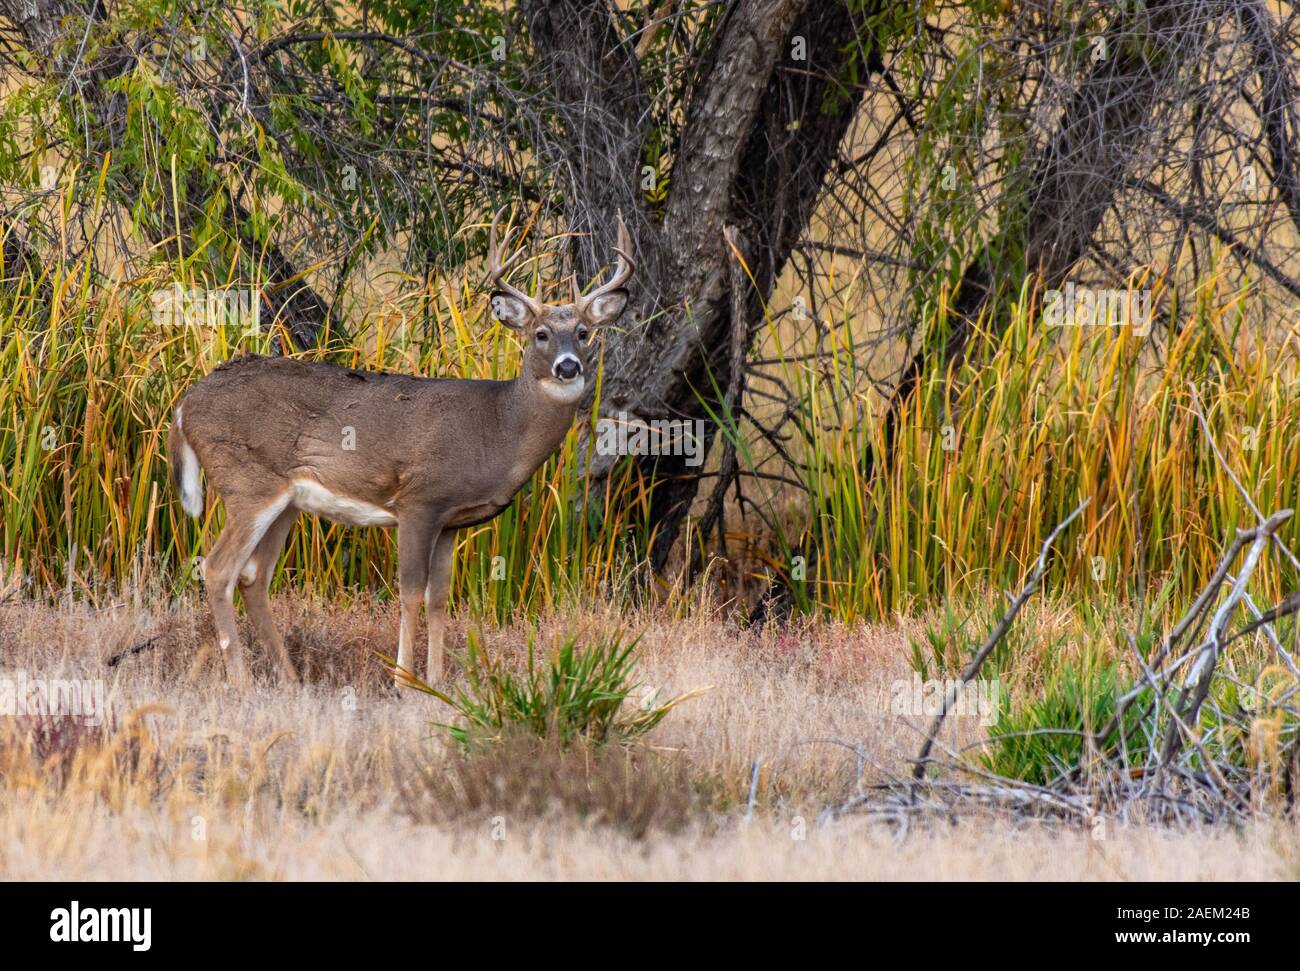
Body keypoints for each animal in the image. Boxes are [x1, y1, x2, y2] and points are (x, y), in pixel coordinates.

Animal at [167, 209, 634, 688]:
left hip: (286, 501)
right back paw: (241, 680)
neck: (497, 427)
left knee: (253, 577)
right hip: (246, 483)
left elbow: (439, 597)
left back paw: (291, 679)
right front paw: (403, 680)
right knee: (217, 569)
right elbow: (409, 593)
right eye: (540, 334)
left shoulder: (451, 521)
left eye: (583, 332)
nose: (568, 366)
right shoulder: (419, 499)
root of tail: (185, 406)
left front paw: (436, 681)